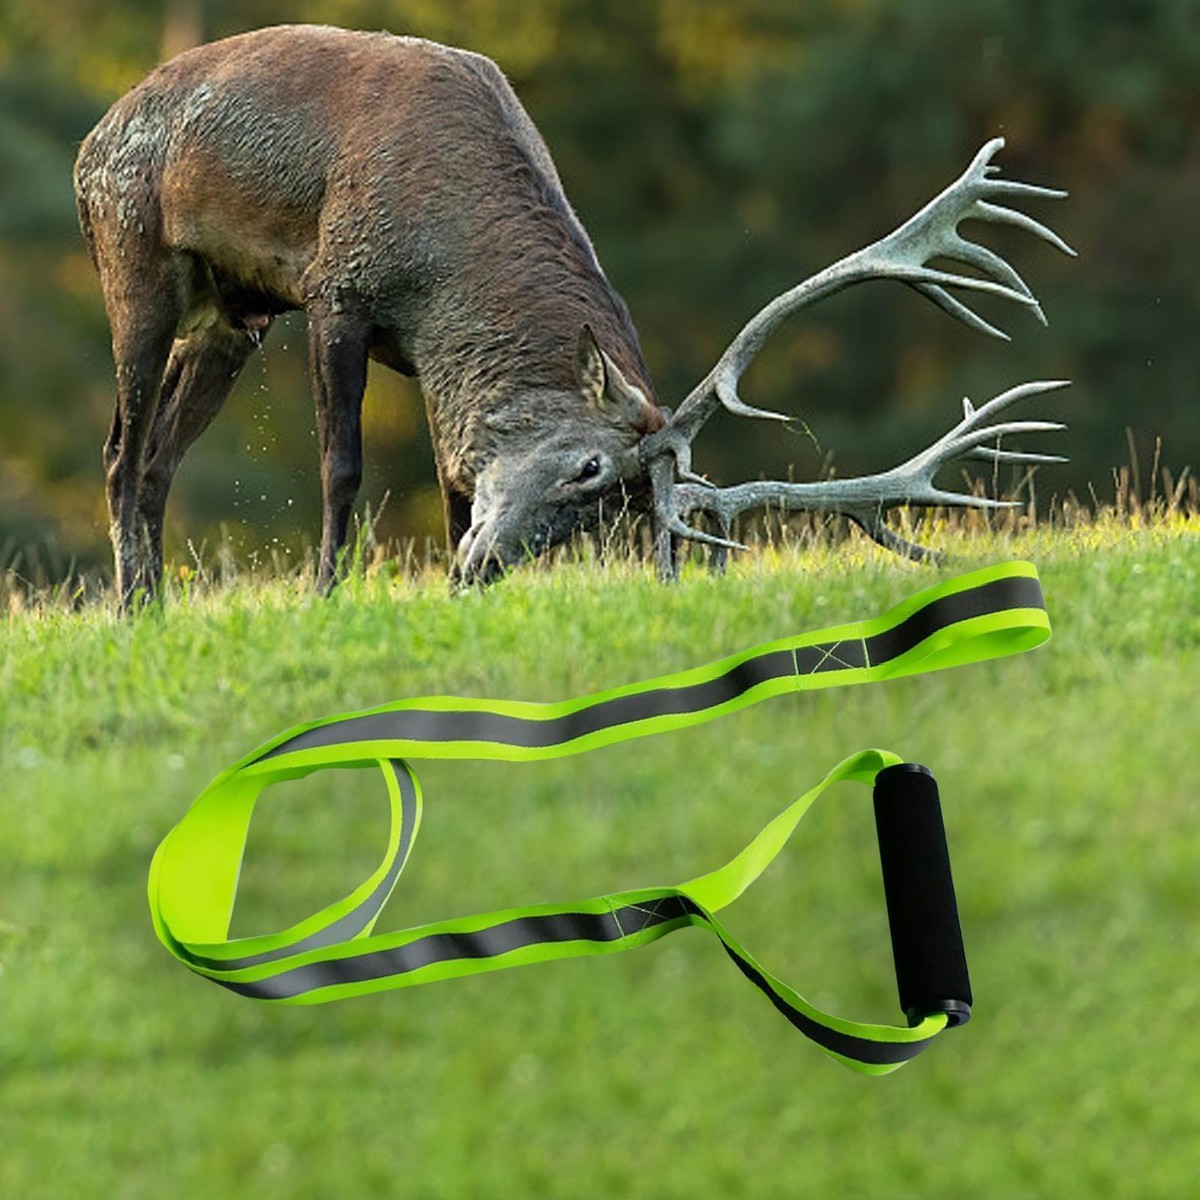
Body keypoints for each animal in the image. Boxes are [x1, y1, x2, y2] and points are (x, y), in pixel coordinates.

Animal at [74, 24, 1073, 608]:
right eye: (590, 467)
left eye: (600, 523)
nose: (488, 569)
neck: (443, 273)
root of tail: (98, 134)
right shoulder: (337, 289)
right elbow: (343, 467)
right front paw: (327, 596)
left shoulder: (430, 370)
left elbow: (451, 488)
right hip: (135, 254)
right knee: (121, 445)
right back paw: (127, 607)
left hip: (233, 316)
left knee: (159, 455)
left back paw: (152, 600)